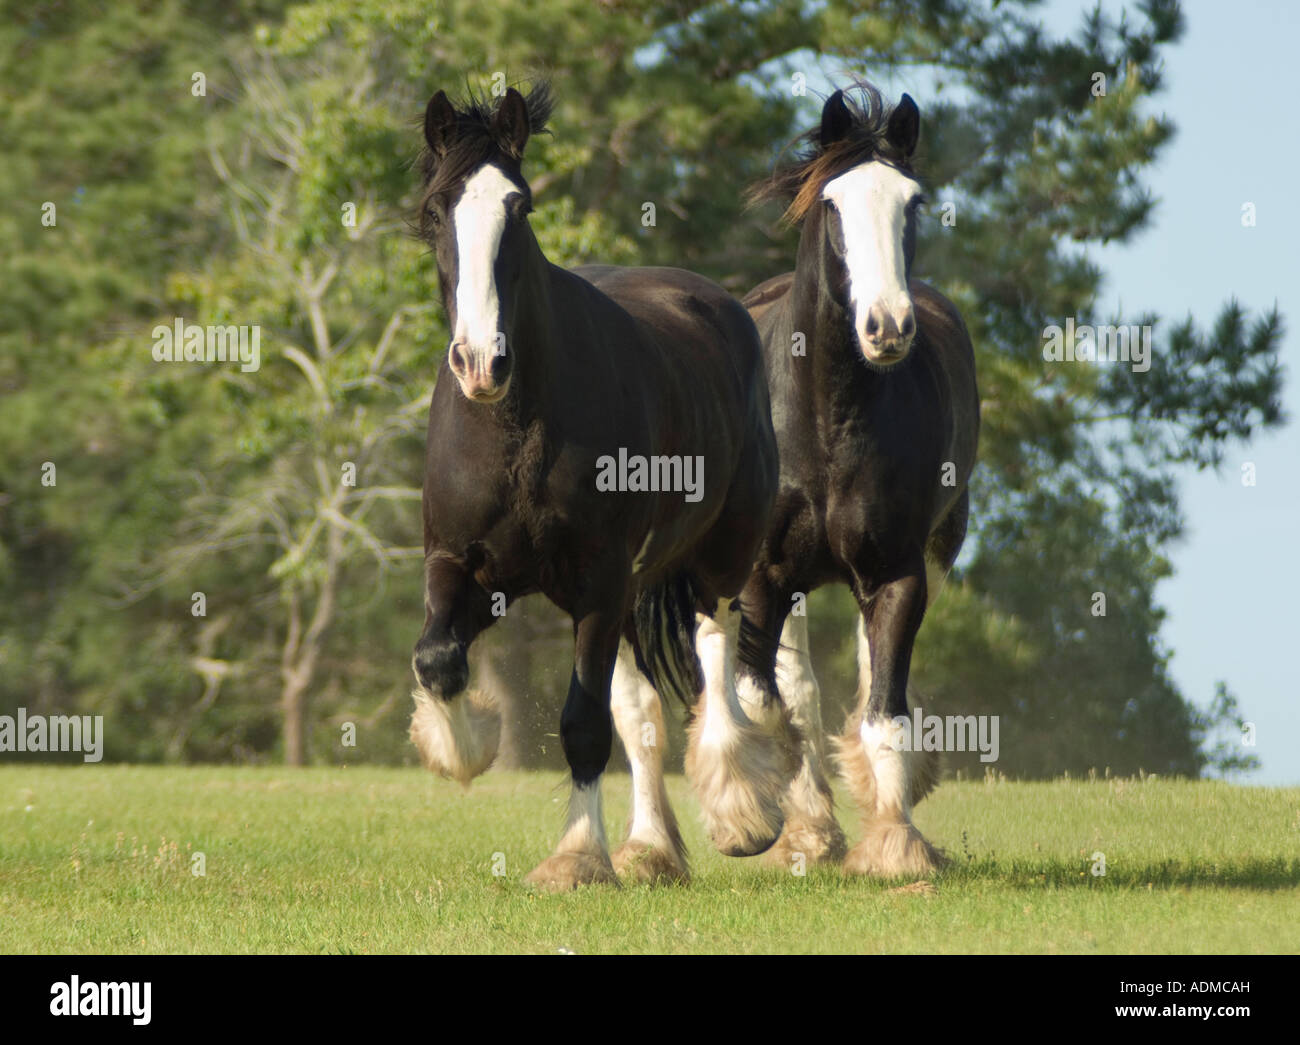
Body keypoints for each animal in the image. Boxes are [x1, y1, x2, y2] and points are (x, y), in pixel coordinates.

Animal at [407, 83, 790, 890]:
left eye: (519, 207)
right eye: (434, 211)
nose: (481, 362)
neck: (516, 424)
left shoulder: (600, 579)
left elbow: (582, 725)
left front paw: (579, 857)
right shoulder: (459, 567)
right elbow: (439, 660)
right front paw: (463, 746)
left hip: (714, 558)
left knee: (715, 657)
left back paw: (744, 811)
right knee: (642, 714)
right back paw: (650, 848)